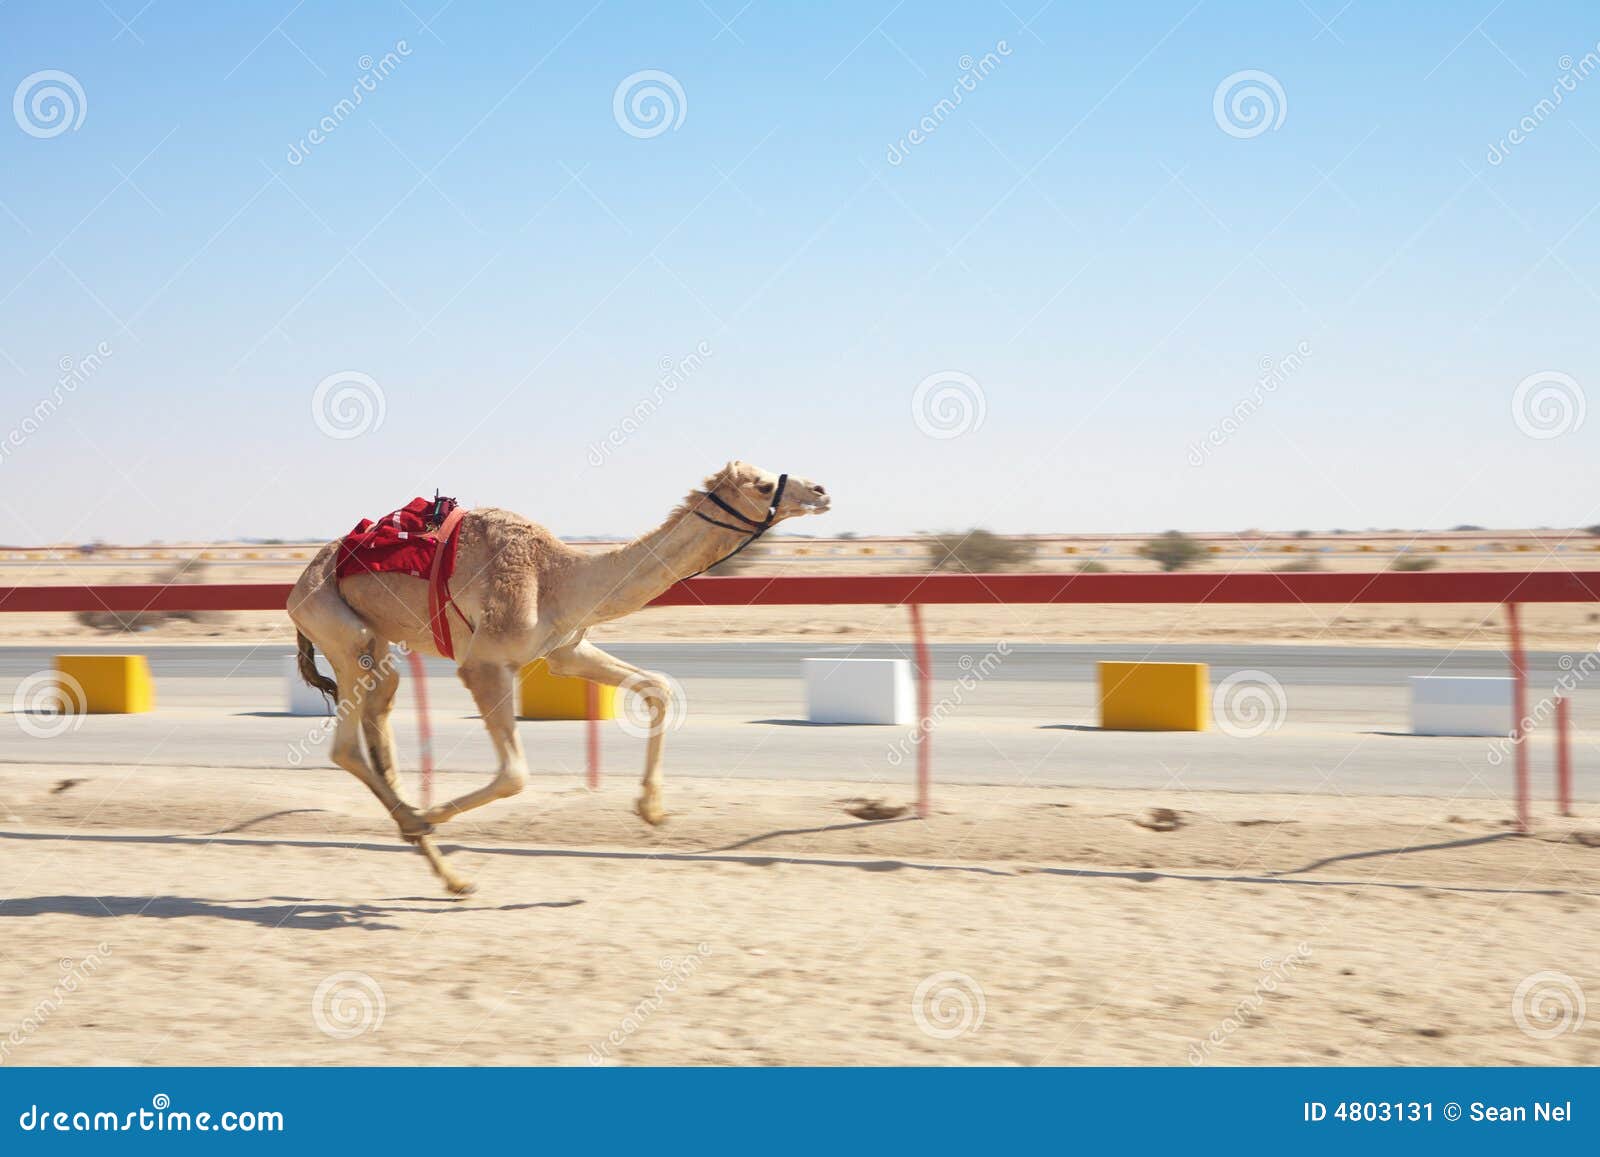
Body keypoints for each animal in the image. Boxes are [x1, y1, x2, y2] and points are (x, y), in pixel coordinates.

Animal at [286, 461, 830, 895]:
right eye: (763, 485)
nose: (821, 490)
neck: (561, 577)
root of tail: (296, 588)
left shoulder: (567, 651)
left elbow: (658, 688)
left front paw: (651, 810)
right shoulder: (484, 663)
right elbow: (514, 774)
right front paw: (427, 816)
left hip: (378, 647)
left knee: (381, 732)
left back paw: (449, 874)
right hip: (341, 630)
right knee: (348, 747)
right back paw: (419, 828)